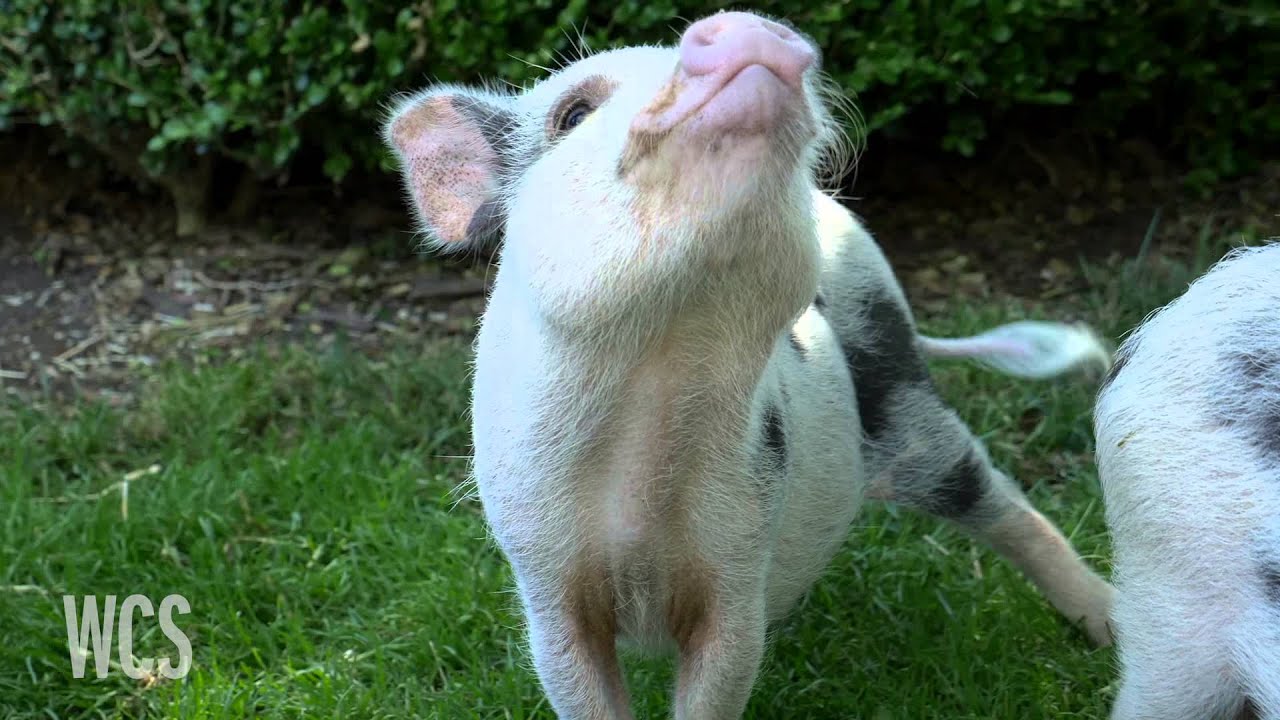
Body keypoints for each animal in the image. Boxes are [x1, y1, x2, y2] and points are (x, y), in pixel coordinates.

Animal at [384, 11, 1114, 718]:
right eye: (573, 113)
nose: (746, 24)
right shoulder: (546, 580)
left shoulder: (736, 572)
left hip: (900, 390)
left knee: (993, 495)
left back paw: (1107, 626)